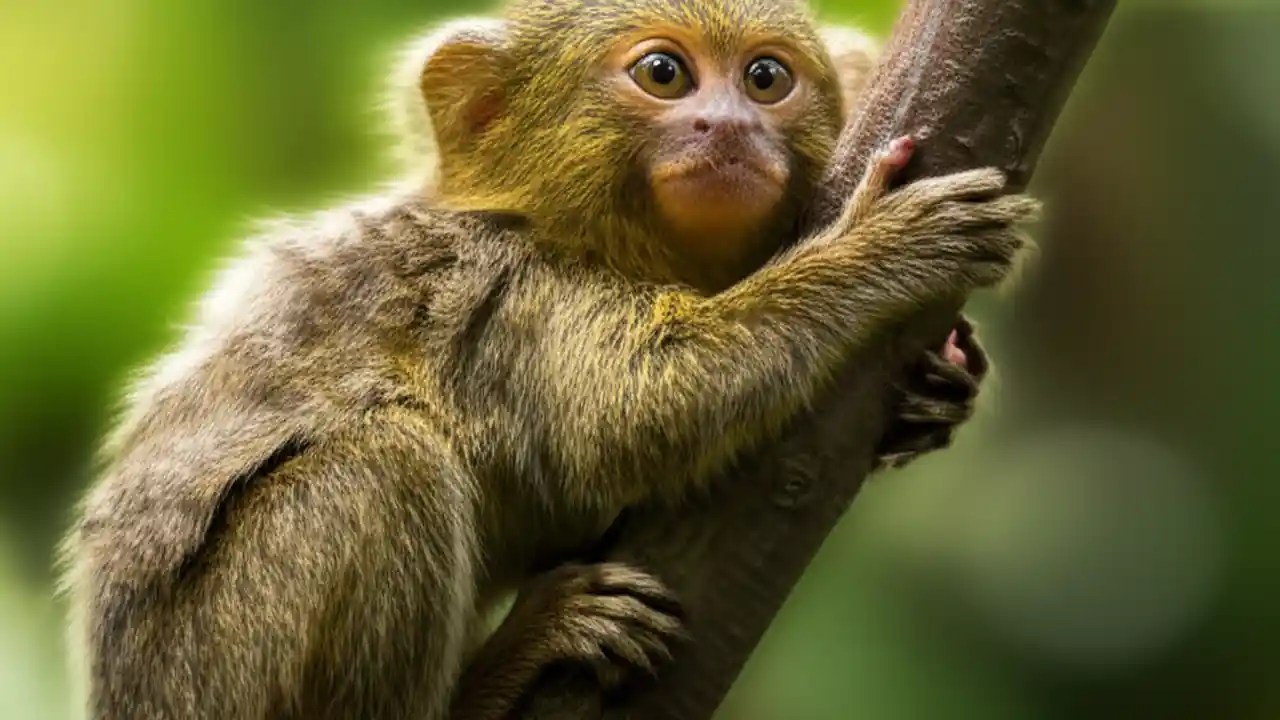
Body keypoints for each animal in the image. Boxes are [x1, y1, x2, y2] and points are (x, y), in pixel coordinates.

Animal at [60, 1, 1036, 718]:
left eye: (767, 79)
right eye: (664, 74)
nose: (727, 127)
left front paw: (940, 389)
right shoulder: (516, 299)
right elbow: (638, 412)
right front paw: (879, 247)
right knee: (383, 464)